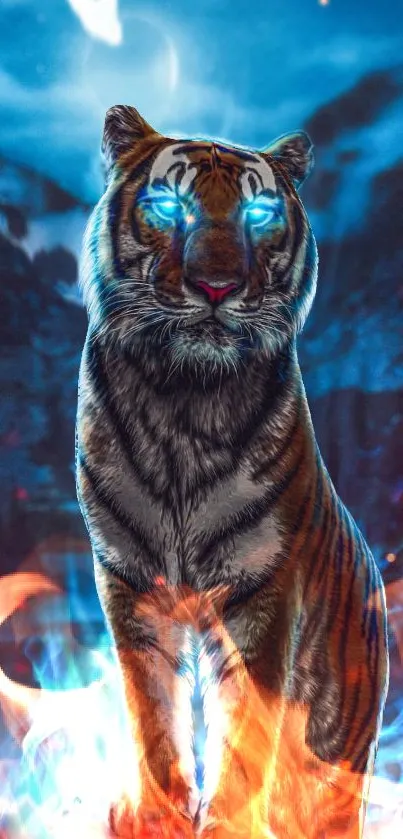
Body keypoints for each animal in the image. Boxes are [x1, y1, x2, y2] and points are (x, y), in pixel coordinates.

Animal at [75, 105, 389, 839]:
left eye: (258, 212)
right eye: (169, 206)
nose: (216, 287)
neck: (183, 399)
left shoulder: (263, 586)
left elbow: (248, 720)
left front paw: (227, 821)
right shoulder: (129, 581)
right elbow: (150, 709)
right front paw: (154, 812)